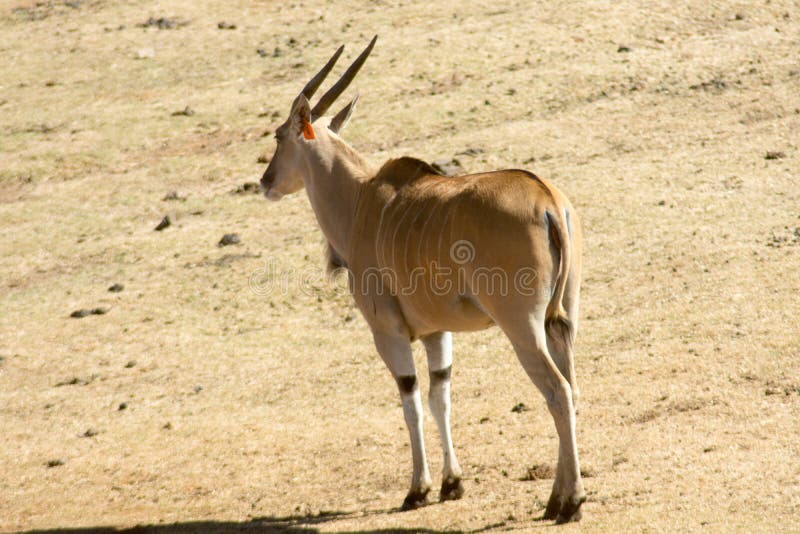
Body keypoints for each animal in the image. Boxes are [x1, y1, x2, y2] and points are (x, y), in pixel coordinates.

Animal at [259, 36, 586, 524]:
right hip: (560, 320)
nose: (265, 181)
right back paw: (556, 498)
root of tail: (547, 200)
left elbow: (410, 401)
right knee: (572, 387)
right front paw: (453, 483)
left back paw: (570, 502)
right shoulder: (437, 332)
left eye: (280, 136)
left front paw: (418, 489)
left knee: (557, 390)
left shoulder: (388, 332)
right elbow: (440, 396)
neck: (362, 202)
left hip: (521, 327)